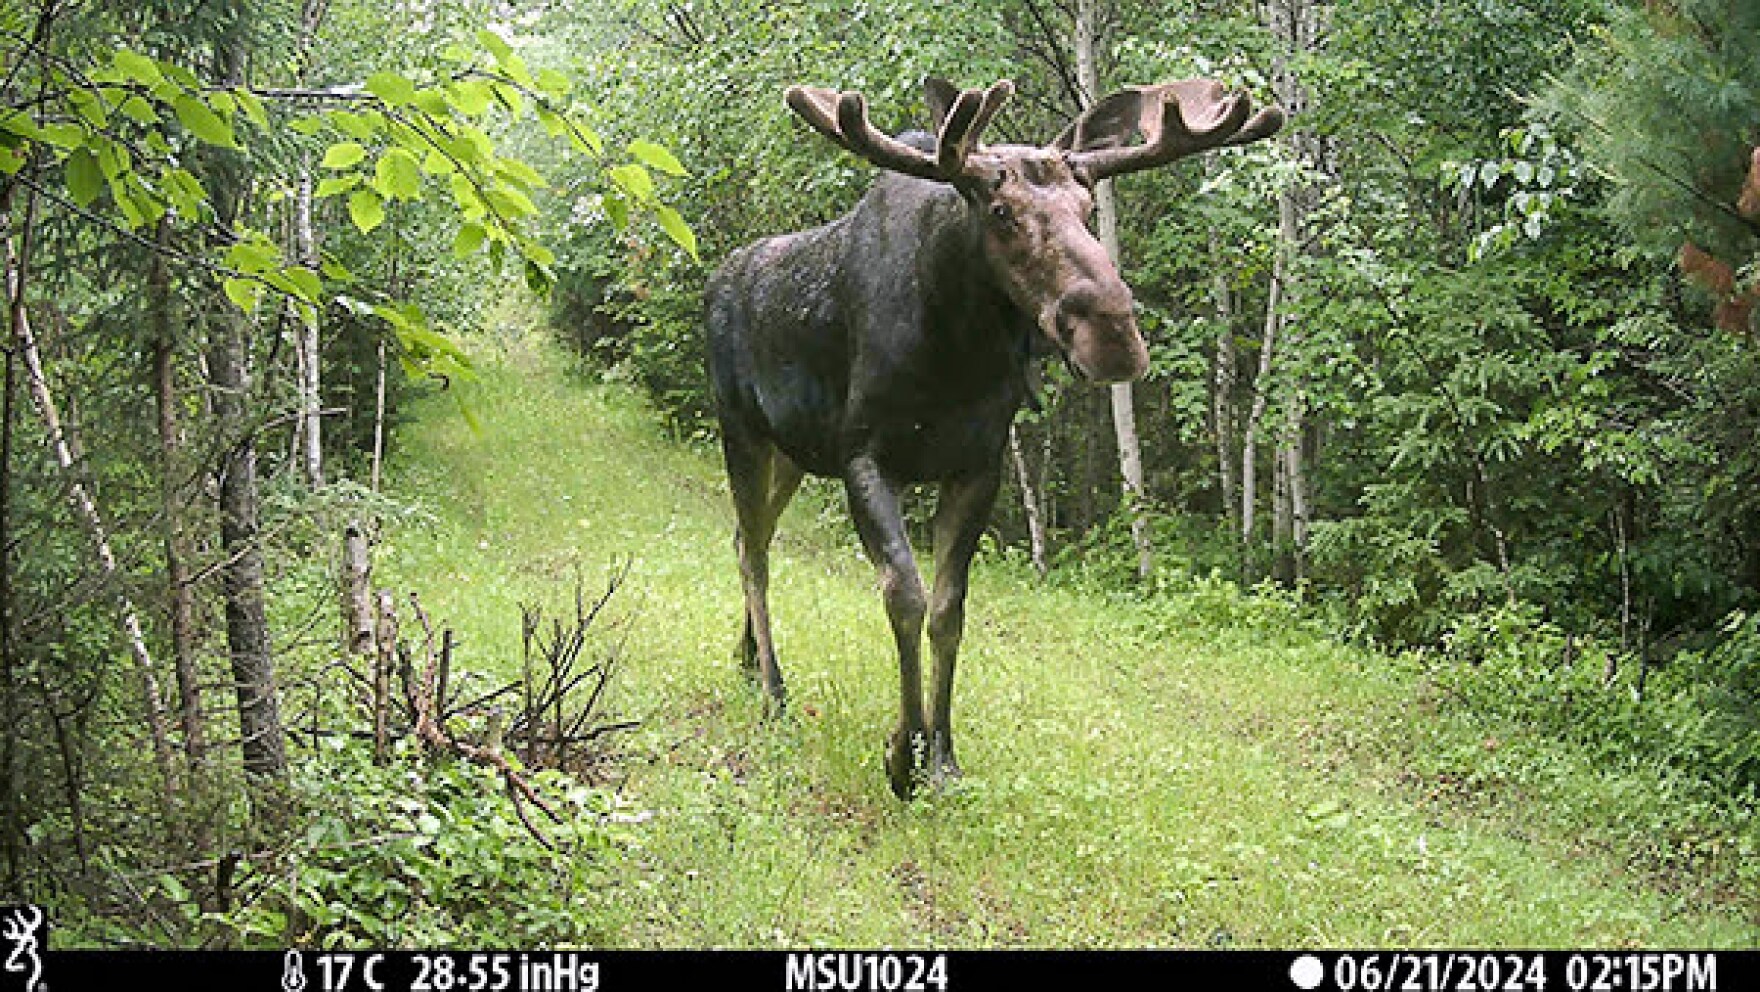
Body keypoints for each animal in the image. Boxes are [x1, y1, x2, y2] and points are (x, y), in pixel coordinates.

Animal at [706, 75, 1282, 797]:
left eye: (1088, 208)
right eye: (1001, 213)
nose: (1114, 334)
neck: (956, 351)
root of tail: (713, 282)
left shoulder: (977, 467)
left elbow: (949, 607)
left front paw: (943, 757)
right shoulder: (864, 457)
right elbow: (904, 595)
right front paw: (902, 753)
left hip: (793, 453)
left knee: (743, 539)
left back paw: (747, 658)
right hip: (742, 433)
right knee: (755, 552)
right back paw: (774, 690)